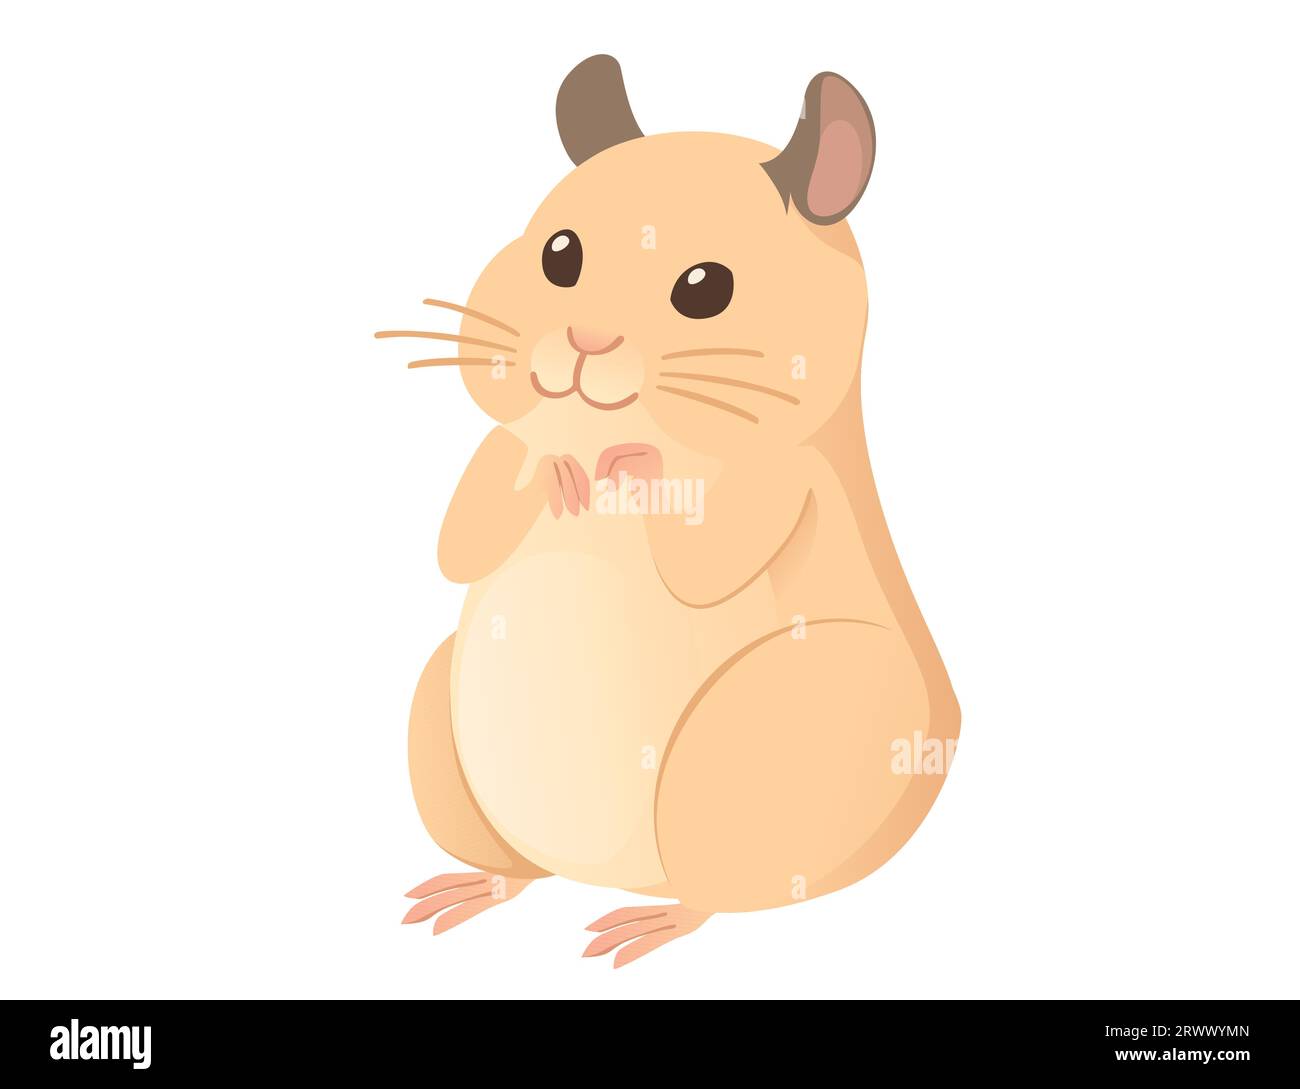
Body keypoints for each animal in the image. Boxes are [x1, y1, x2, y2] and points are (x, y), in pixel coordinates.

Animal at [384, 55, 960, 967]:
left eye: (706, 287)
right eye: (559, 252)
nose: (585, 341)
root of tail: (600, 876)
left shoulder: (780, 485)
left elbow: (707, 559)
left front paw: (631, 470)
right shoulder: (493, 457)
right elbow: (460, 538)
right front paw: (561, 477)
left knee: (716, 894)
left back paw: (652, 922)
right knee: (519, 870)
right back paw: (474, 888)